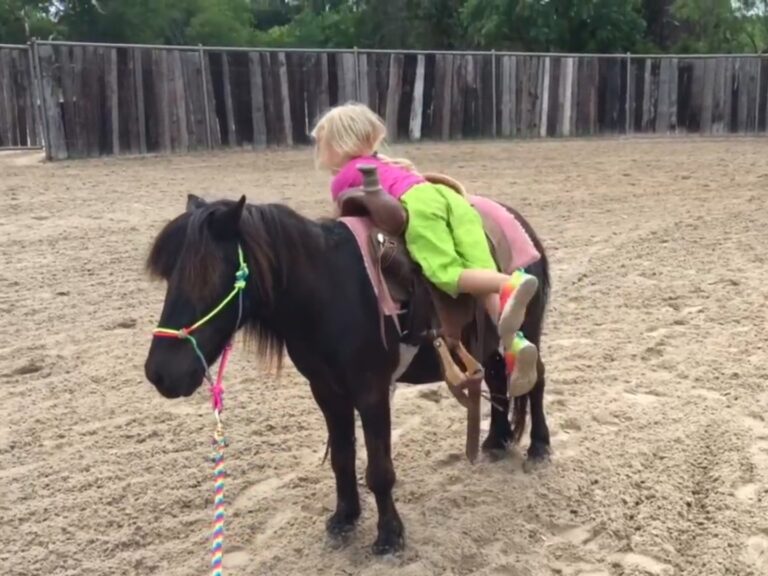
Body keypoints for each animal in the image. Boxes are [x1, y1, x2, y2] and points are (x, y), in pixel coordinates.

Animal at [143, 192, 551, 555]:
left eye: (207, 276)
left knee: (536, 379)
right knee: (499, 380)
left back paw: (539, 447)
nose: (159, 373)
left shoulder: (372, 393)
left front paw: (389, 535)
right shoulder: (327, 391)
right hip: (491, 346)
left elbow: (379, 469)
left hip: (525, 330)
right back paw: (496, 440)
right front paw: (344, 517)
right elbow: (342, 458)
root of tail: (519, 222)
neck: (330, 292)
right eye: (169, 278)